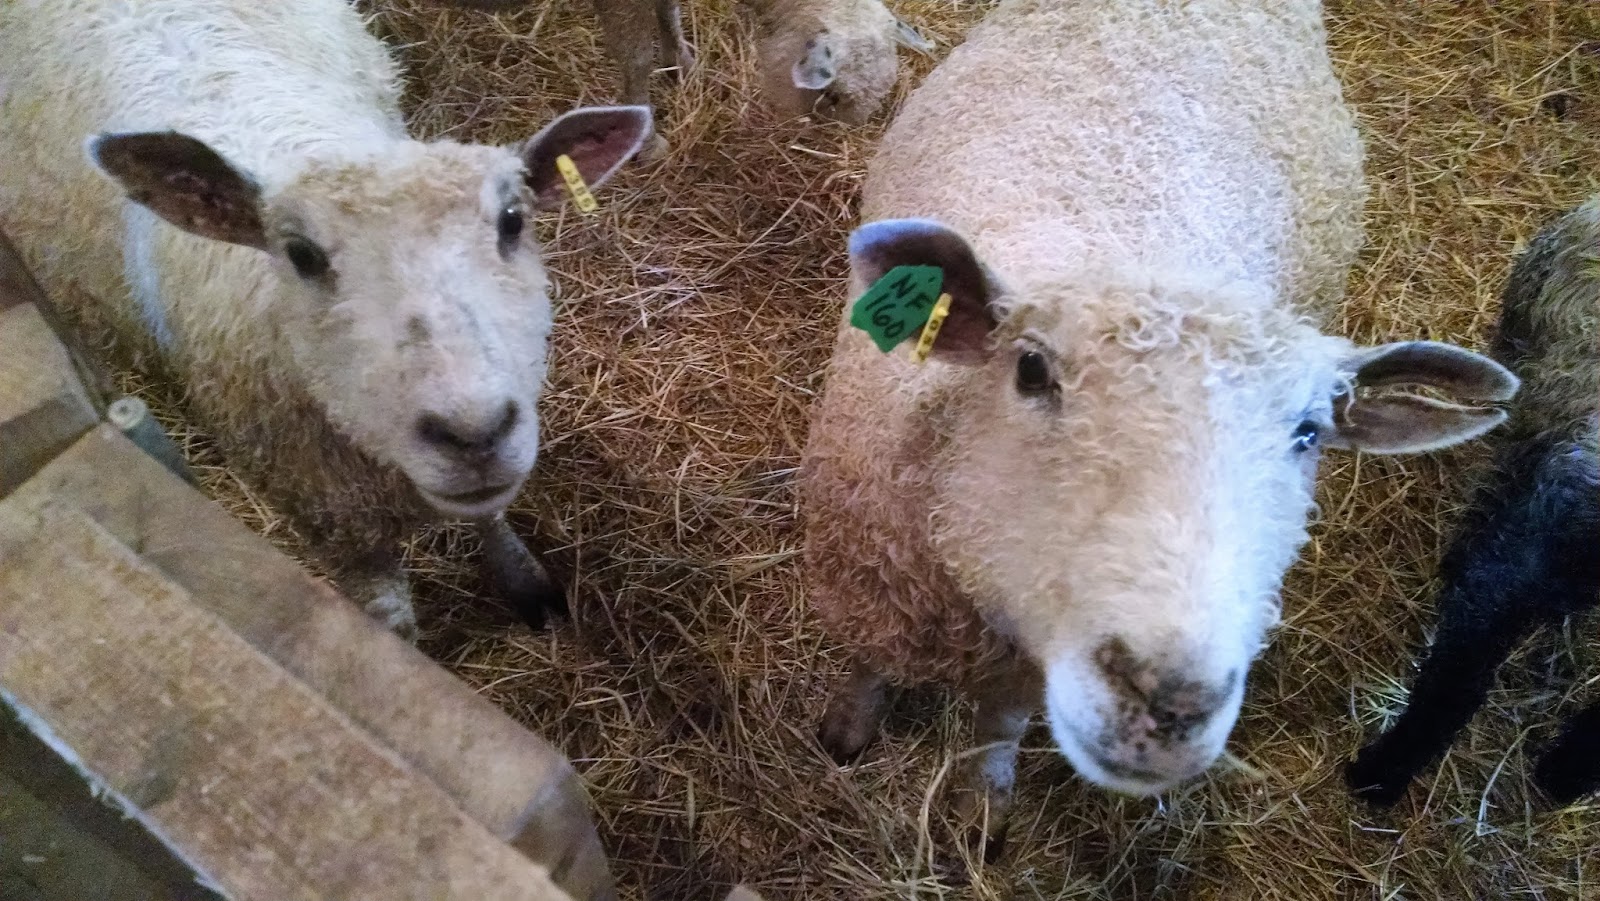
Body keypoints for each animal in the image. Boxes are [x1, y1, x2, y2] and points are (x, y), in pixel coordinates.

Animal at [0, 0, 654, 639]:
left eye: (513, 222)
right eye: (302, 256)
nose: (472, 434)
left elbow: (491, 511)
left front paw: (527, 583)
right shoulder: (330, 519)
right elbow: (390, 626)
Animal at [799, 0, 1519, 854]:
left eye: (1308, 432)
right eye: (1031, 370)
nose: (1173, 700)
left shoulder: (1015, 673)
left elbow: (995, 730)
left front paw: (983, 809)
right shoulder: (866, 574)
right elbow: (864, 665)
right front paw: (844, 732)